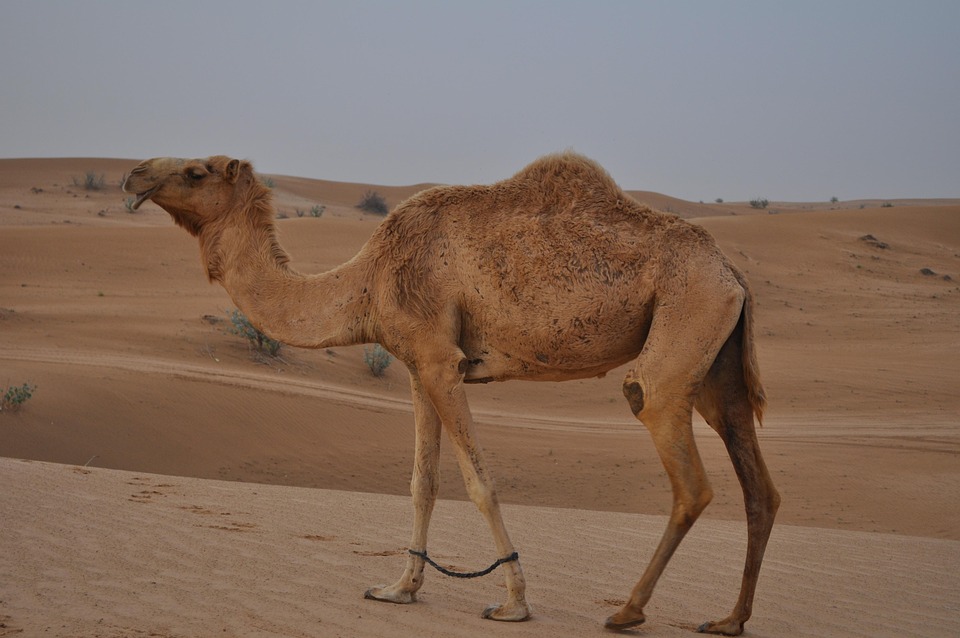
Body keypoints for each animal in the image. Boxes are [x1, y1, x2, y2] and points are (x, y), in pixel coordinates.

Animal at [123, 152, 780, 635]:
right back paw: (729, 620)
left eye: (196, 171)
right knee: (760, 487)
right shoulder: (418, 363)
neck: (365, 280)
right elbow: (423, 483)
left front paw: (512, 602)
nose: (132, 173)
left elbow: (478, 483)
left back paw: (627, 610)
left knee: (684, 468)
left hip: (681, 331)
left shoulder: (441, 361)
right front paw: (399, 589)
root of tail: (731, 272)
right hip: (716, 361)